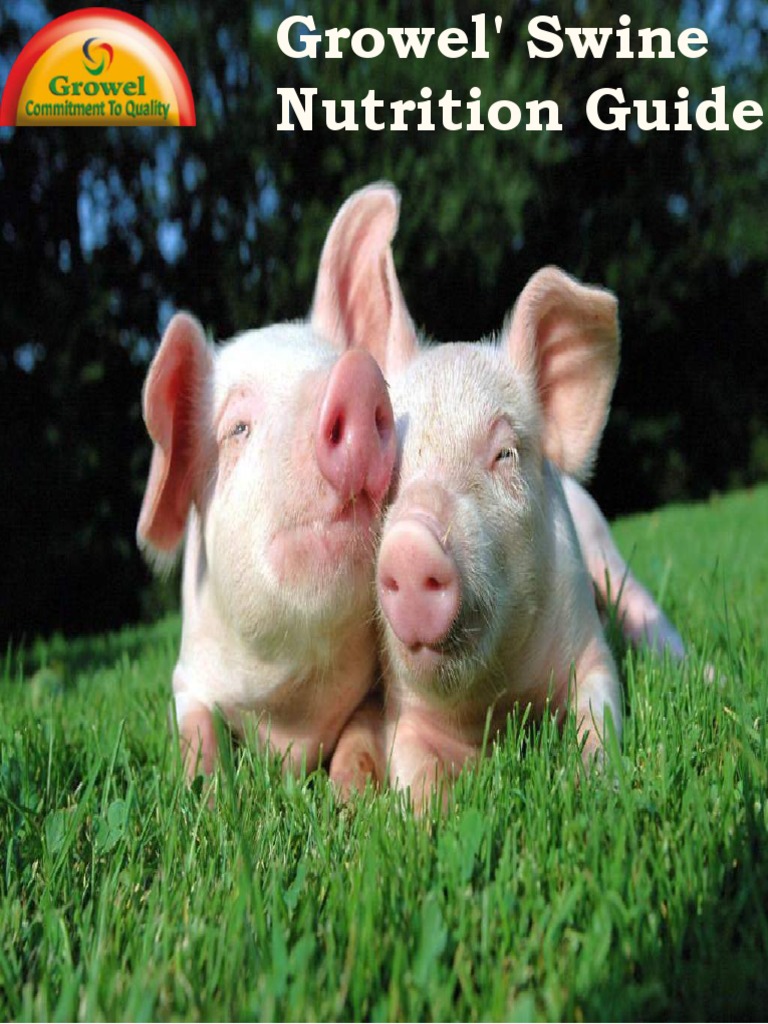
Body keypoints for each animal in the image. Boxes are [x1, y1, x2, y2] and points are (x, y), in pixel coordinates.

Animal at [137, 185, 415, 781]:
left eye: (347, 366)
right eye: (237, 428)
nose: (357, 376)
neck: (289, 709)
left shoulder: (374, 692)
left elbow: (359, 741)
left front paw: (352, 797)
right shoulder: (185, 677)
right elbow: (197, 736)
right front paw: (206, 794)